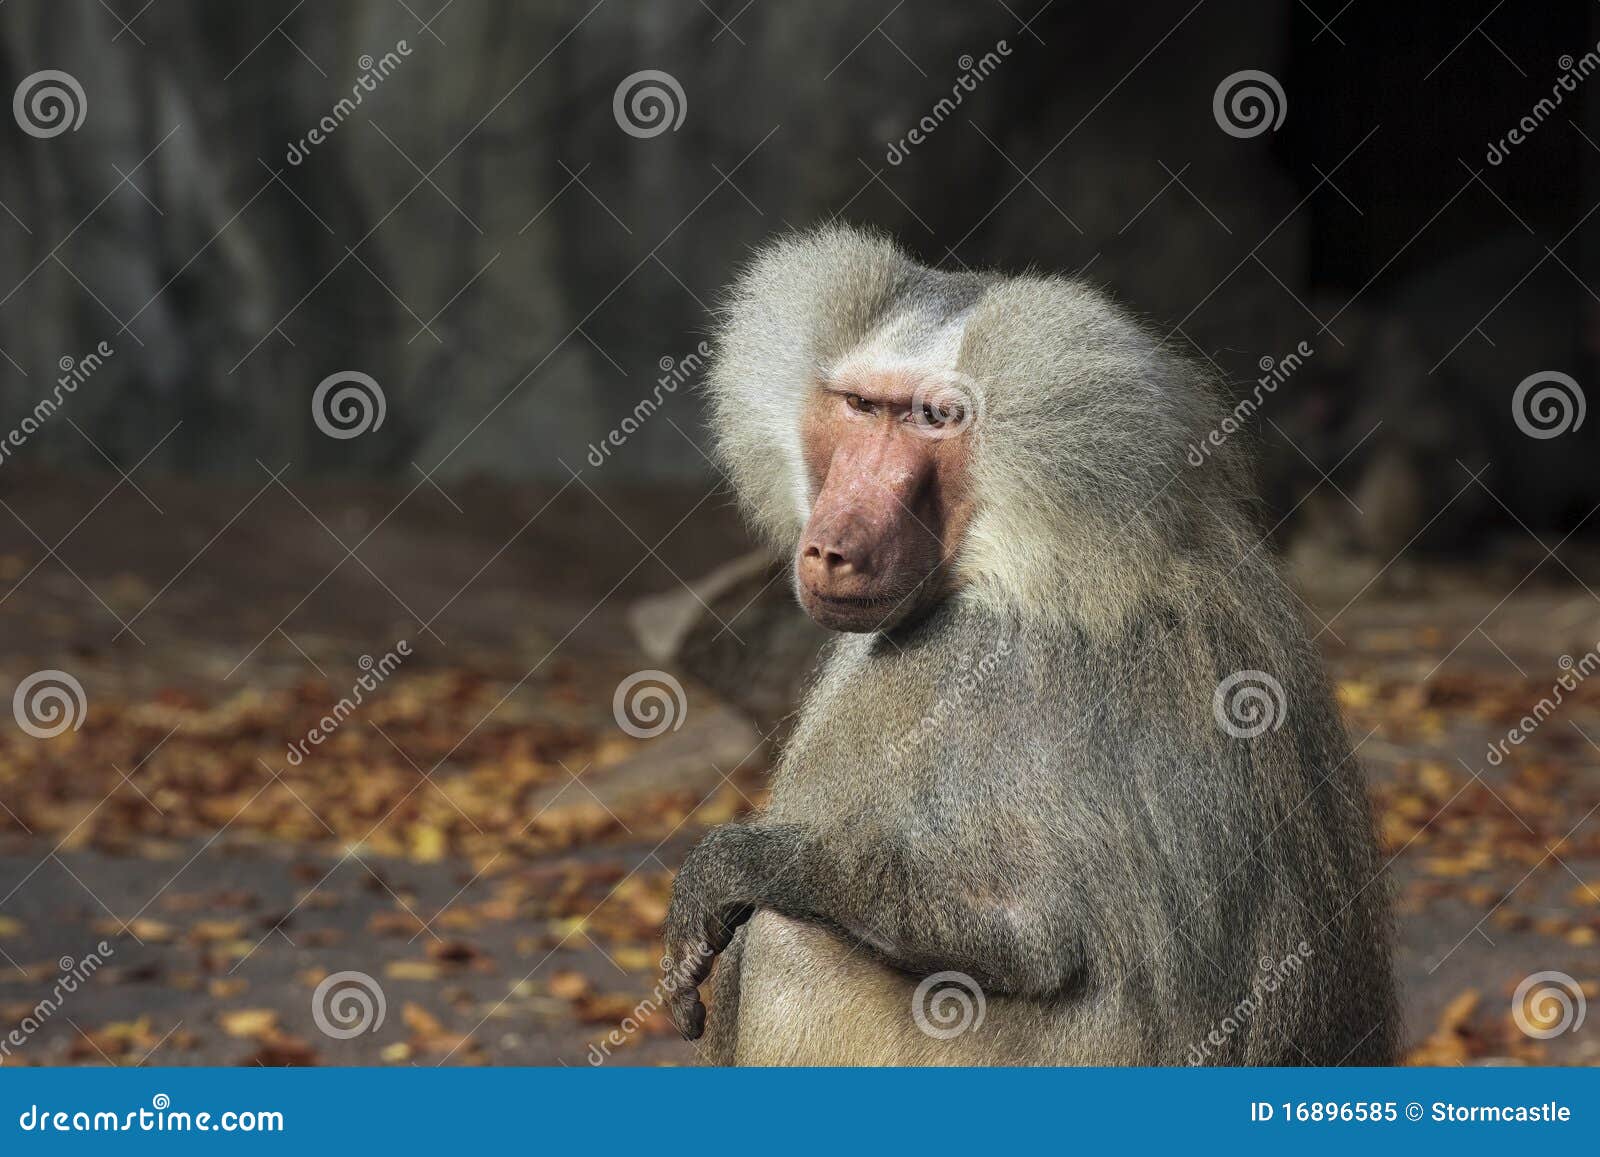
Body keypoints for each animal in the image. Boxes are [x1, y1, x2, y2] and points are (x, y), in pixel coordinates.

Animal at [660, 224, 1397, 1066]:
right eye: (861, 406)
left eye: (934, 417)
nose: (831, 549)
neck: (1016, 553)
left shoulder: (1012, 669)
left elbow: (1027, 936)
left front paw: (731, 868)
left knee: (791, 942)